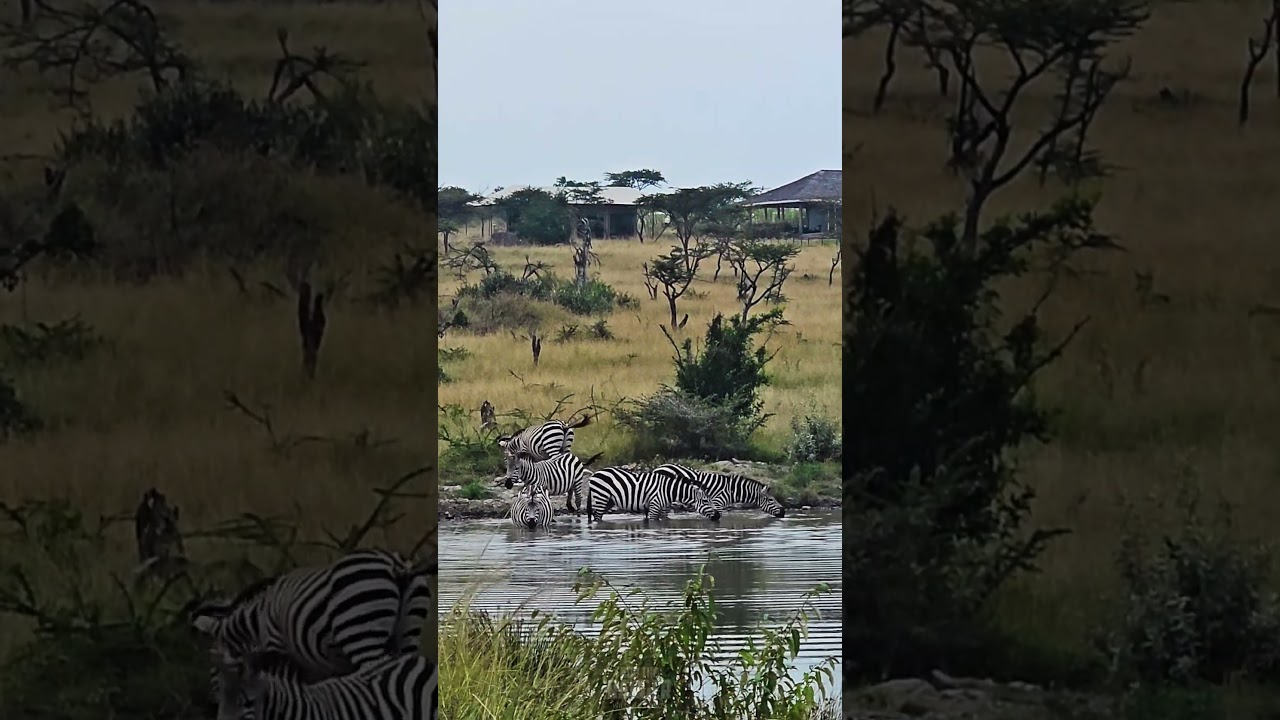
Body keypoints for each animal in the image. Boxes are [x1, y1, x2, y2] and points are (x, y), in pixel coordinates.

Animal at [191, 549, 432, 700]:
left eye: (215, 668)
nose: (213, 702)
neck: (255, 621)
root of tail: (397, 566)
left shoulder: (278, 648)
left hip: (362, 635)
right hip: (409, 632)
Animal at [584, 466, 722, 524]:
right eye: (706, 501)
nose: (718, 516)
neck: (668, 489)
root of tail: (594, 474)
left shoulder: (661, 507)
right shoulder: (654, 506)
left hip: (609, 500)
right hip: (601, 497)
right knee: (597, 517)